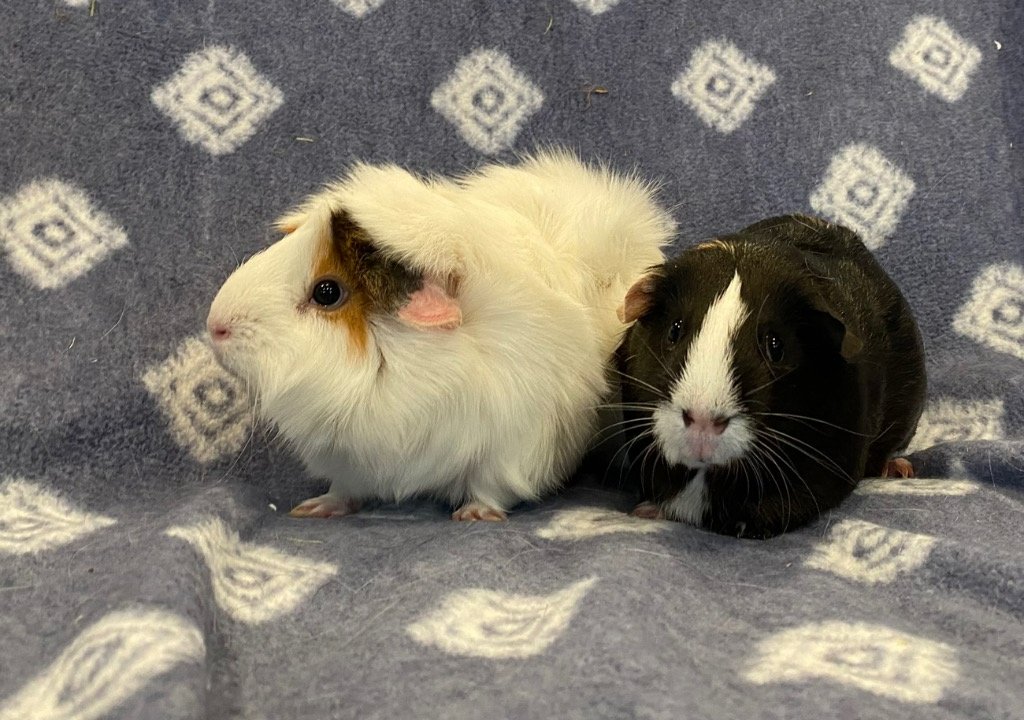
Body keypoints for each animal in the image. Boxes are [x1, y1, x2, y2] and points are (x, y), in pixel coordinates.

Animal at [206, 151, 674, 521]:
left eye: (327, 292)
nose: (215, 327)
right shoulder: (351, 459)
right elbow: (345, 489)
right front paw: (313, 509)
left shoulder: (512, 446)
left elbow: (491, 486)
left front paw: (474, 515)